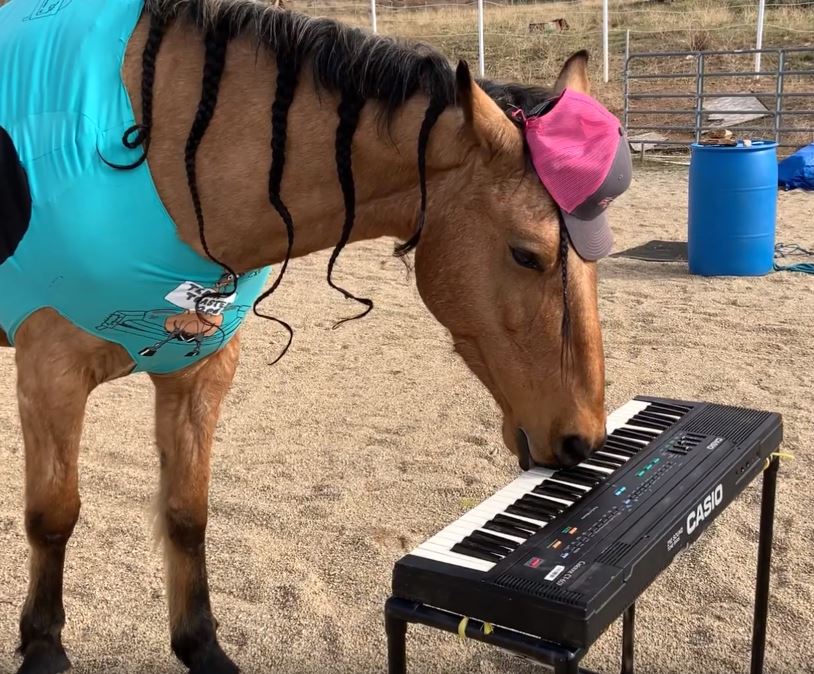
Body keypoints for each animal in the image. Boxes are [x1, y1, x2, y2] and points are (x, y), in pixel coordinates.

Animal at [0, 0, 622, 671]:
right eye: (526, 254)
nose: (583, 440)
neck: (158, 159)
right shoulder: (51, 375)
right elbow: (53, 515)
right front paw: (43, 646)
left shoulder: (199, 370)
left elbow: (187, 514)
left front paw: (201, 646)